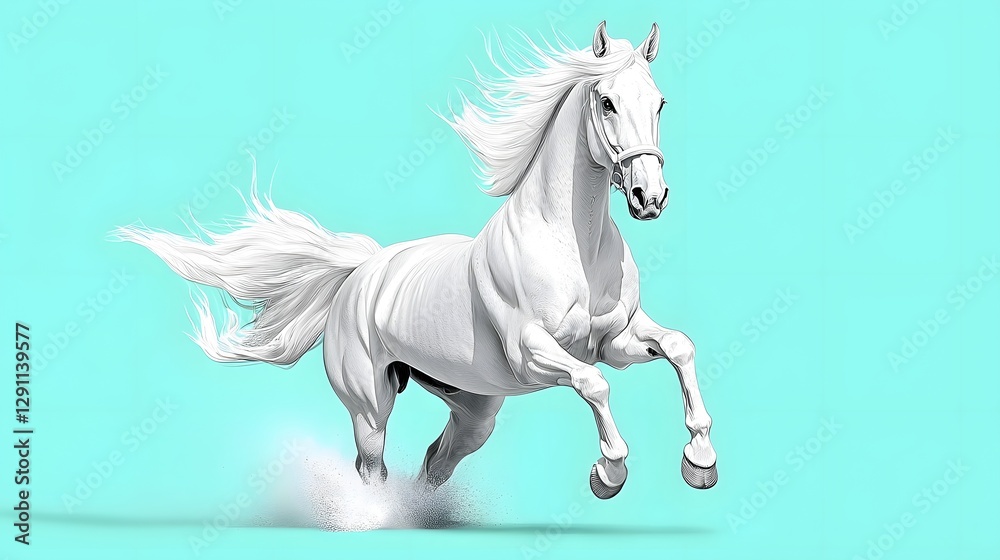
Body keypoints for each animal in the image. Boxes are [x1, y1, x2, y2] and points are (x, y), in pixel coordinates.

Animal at [114, 21, 718, 499]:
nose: (649, 197)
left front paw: (700, 462)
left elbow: (678, 347)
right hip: (370, 406)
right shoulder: (534, 351)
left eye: (659, 103)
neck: (574, 247)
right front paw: (608, 473)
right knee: (373, 466)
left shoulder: (615, 340)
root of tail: (360, 273)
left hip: (476, 407)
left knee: (437, 460)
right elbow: (595, 385)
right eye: (608, 101)